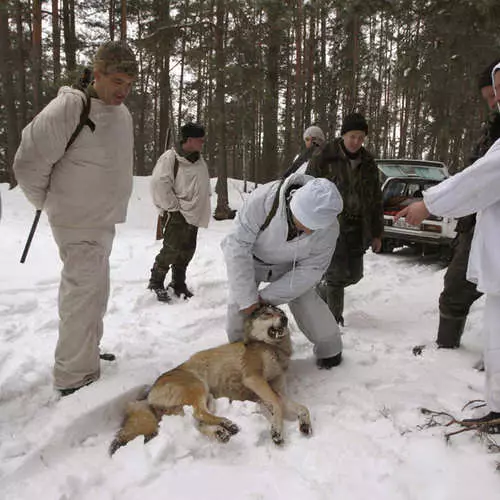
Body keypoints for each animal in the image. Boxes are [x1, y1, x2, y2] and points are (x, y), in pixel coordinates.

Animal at [111, 302, 310, 456]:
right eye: (268, 314)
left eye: (281, 313)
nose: (284, 319)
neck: (272, 347)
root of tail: (149, 392)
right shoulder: (254, 380)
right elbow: (277, 405)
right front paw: (277, 432)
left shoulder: (271, 389)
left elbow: (301, 407)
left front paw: (305, 424)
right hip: (198, 388)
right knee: (199, 414)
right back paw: (227, 425)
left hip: (208, 398)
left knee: (198, 421)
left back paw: (221, 433)